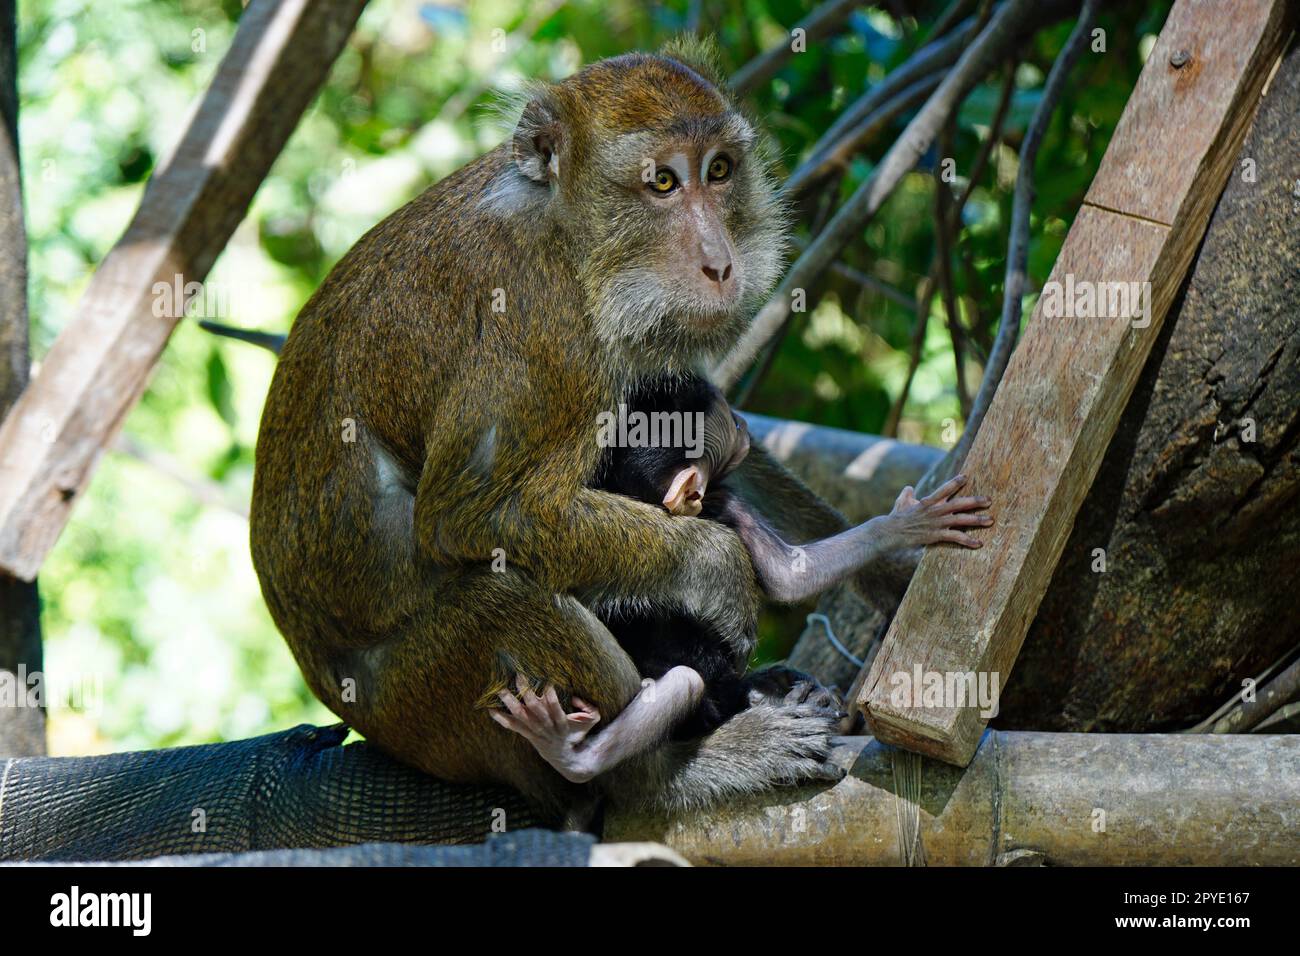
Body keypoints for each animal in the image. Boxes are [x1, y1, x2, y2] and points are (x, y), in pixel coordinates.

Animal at [249, 43, 994, 825]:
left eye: (719, 171)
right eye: (662, 182)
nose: (720, 263)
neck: (564, 233)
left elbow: (723, 439)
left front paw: (897, 569)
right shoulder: (545, 330)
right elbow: (475, 515)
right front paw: (718, 569)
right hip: (426, 699)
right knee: (507, 600)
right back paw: (657, 770)